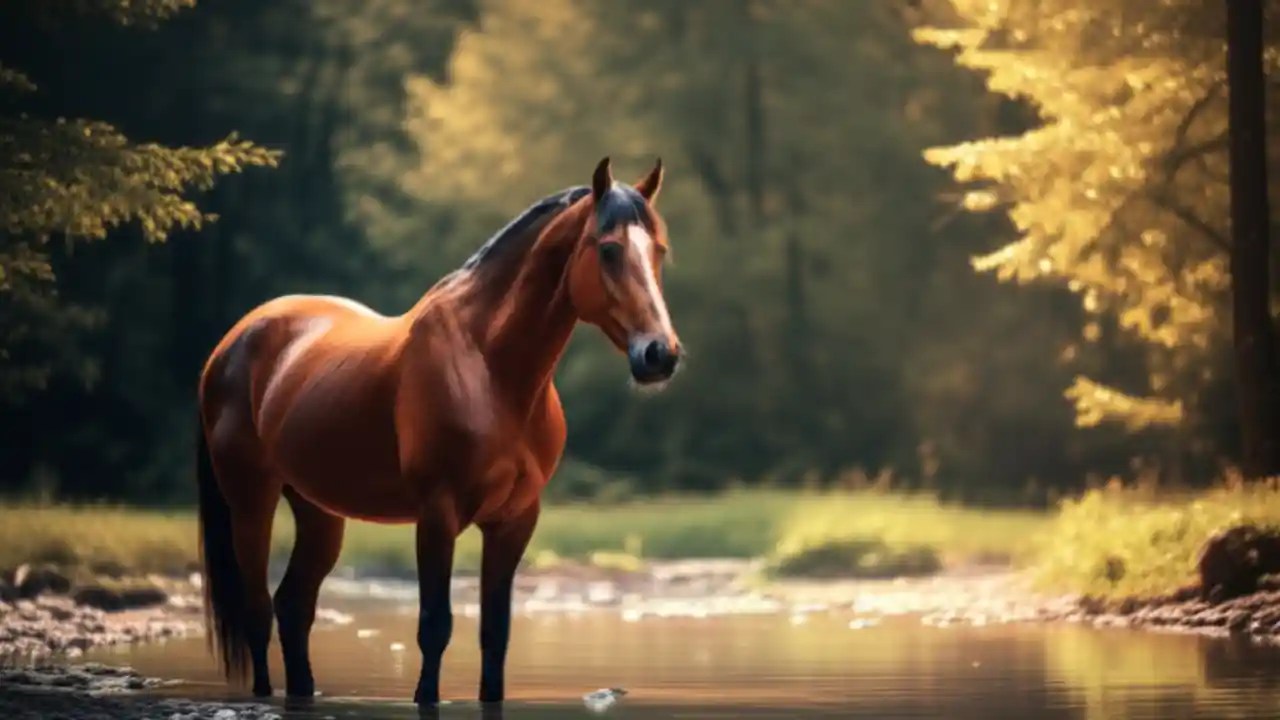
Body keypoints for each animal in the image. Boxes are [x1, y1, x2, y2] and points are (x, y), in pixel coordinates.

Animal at [195, 156, 680, 706]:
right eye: (609, 249)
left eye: (659, 250)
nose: (659, 354)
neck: (490, 370)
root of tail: (233, 342)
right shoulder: (436, 514)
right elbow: (434, 627)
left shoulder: (514, 520)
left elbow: (495, 633)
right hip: (251, 502)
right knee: (257, 609)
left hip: (318, 511)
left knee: (293, 607)